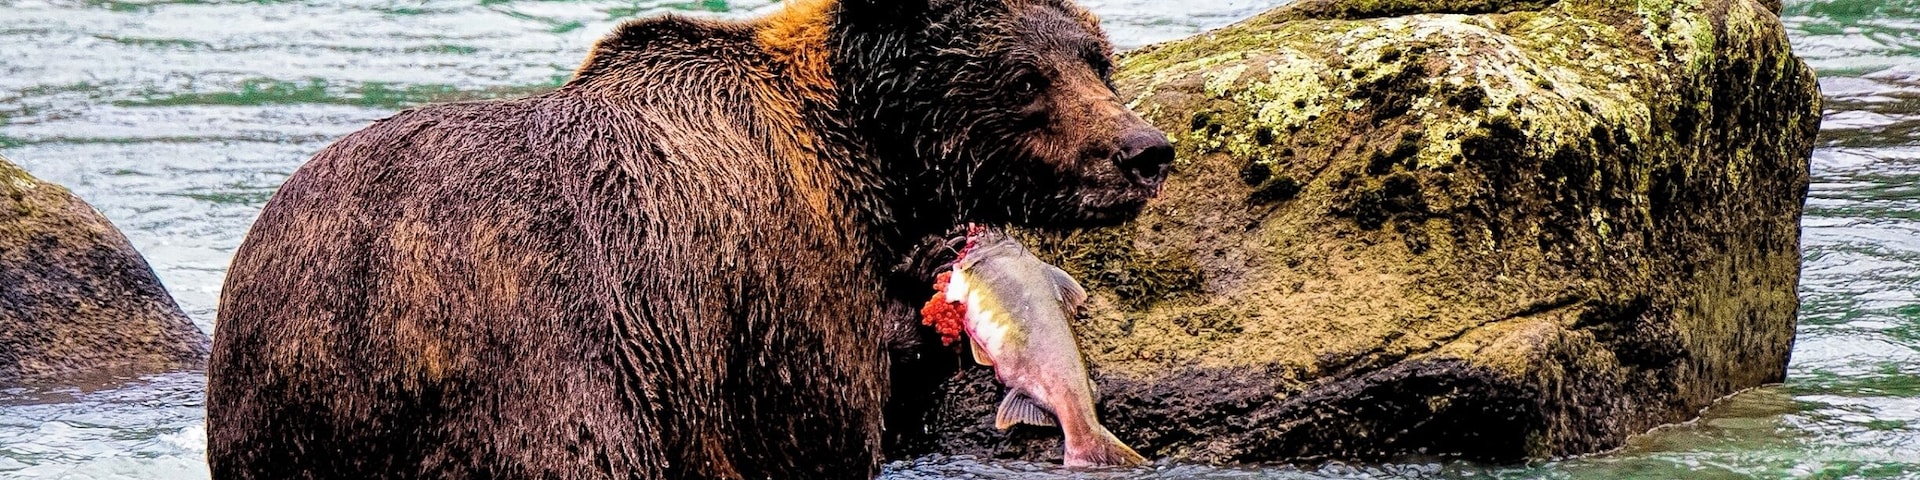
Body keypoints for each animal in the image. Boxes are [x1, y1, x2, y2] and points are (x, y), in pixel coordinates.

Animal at [205, 0, 1172, 478]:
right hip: (540, 366)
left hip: (277, 391)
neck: (864, 158)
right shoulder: (770, 279)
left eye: (1098, 57)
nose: (1145, 150)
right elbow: (815, 422)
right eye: (1023, 77)